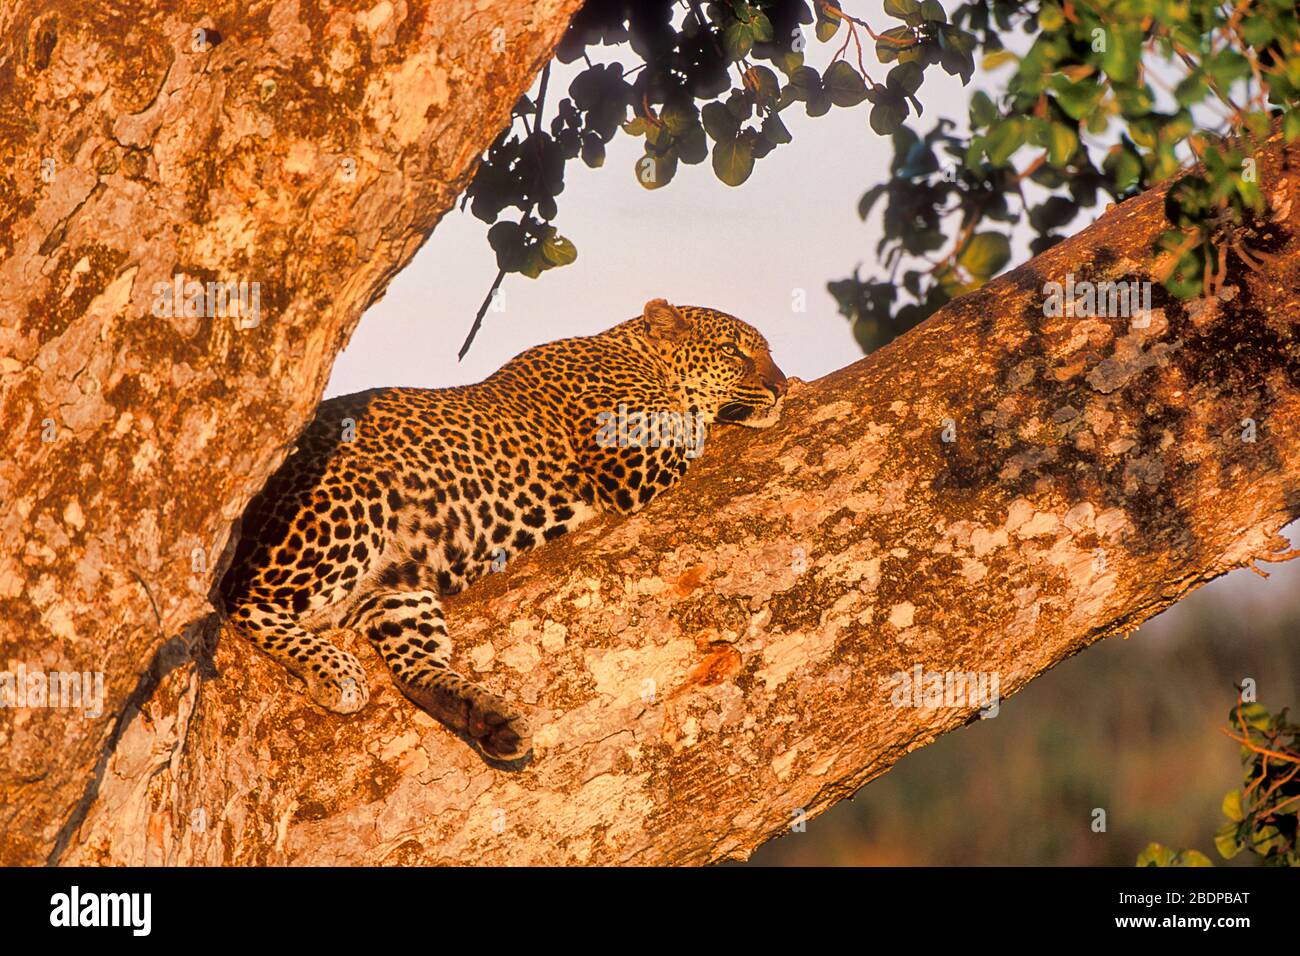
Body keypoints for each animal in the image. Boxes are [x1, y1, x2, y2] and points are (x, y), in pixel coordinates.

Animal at [219, 298, 788, 763]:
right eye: (734, 352)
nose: (780, 386)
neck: (637, 354)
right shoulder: (633, 466)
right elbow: (695, 423)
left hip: (397, 584)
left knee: (414, 666)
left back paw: (489, 720)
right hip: (353, 501)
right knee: (243, 599)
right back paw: (333, 669)